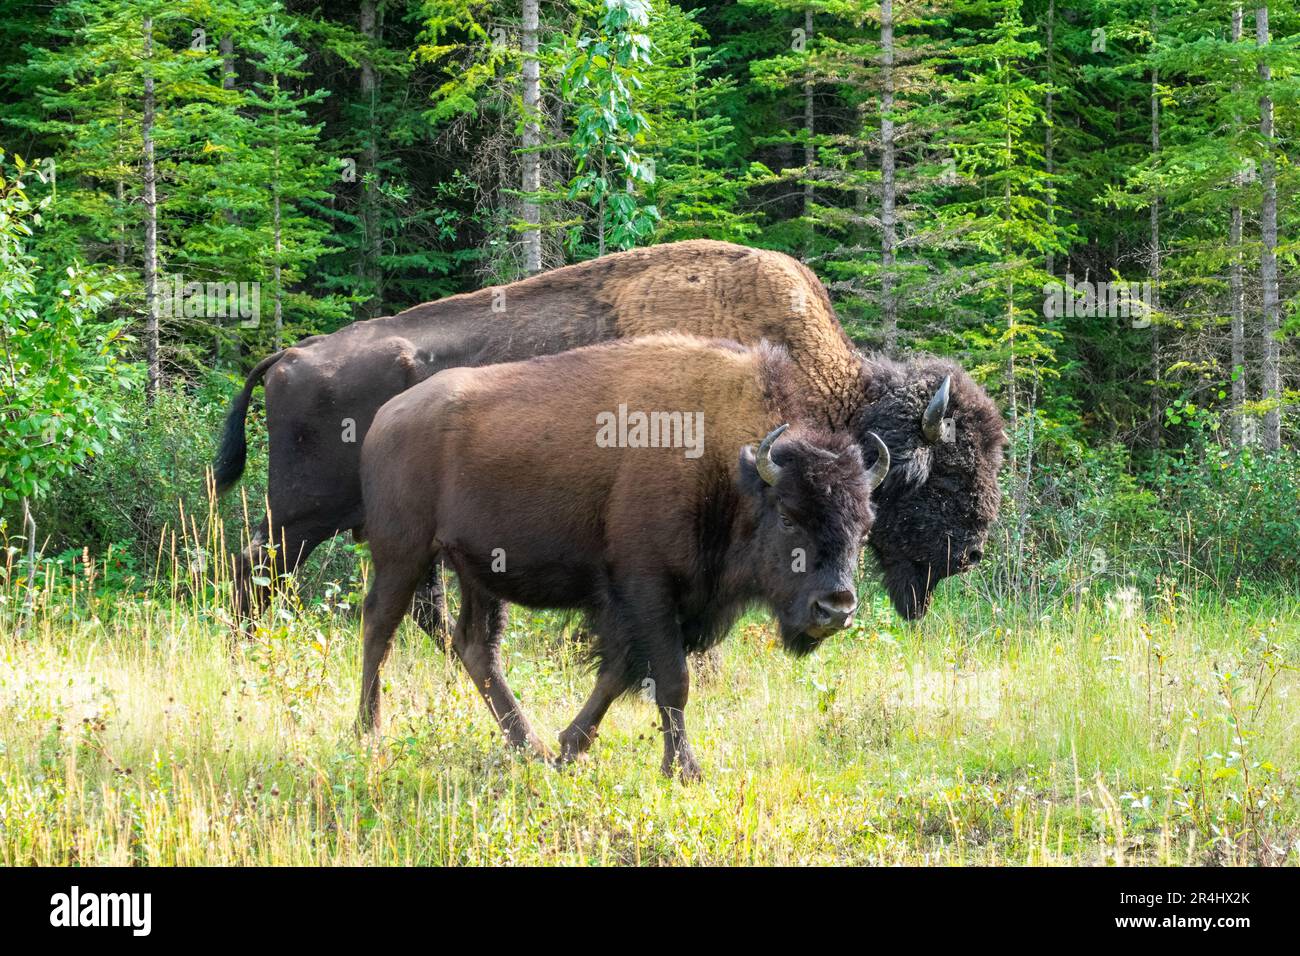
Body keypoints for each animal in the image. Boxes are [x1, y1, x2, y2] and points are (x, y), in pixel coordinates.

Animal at [357, 334, 889, 779]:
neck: (729, 468)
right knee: (380, 627)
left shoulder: (648, 607)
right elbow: (673, 680)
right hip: (403, 553)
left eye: (865, 527)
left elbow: (618, 673)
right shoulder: (646, 589)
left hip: (478, 571)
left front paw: (569, 747)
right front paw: (684, 771)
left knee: (477, 647)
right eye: (788, 517)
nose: (836, 608)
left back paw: (530, 747)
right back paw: (369, 732)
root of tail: (386, 417)